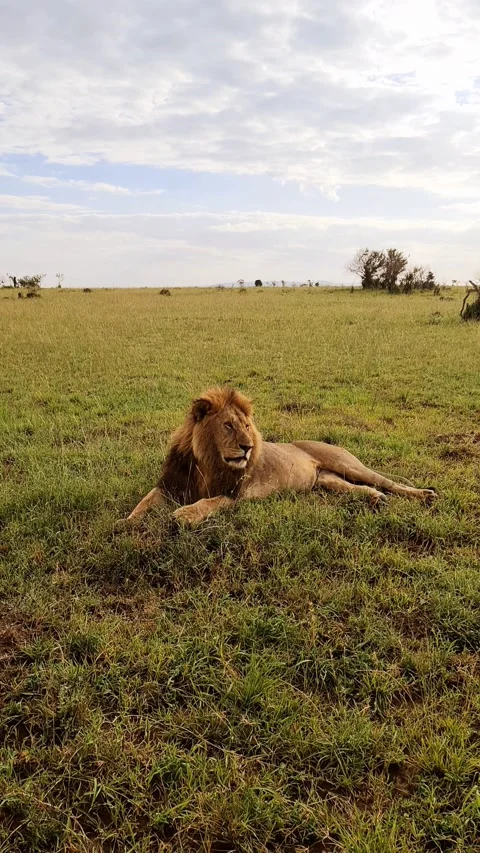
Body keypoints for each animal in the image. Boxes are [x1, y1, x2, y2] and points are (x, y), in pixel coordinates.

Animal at [121, 386, 436, 528]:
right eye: (228, 425)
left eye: (247, 426)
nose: (247, 447)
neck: (207, 463)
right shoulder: (169, 485)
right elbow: (144, 502)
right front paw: (125, 523)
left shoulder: (234, 494)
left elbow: (208, 502)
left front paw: (184, 515)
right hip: (328, 480)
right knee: (359, 489)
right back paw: (375, 500)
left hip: (347, 464)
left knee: (388, 483)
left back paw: (425, 495)